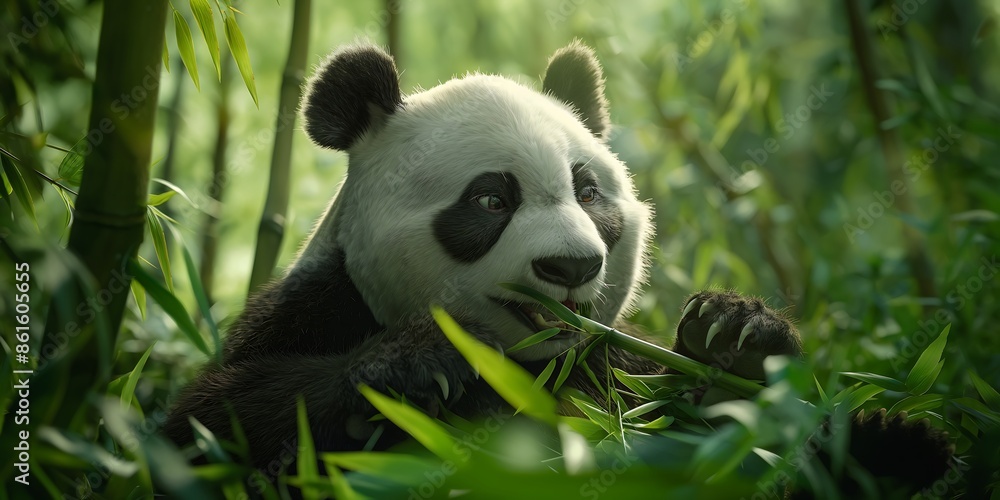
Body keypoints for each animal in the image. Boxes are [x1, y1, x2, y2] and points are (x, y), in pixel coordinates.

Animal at [165, 41, 951, 495]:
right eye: (491, 198)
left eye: (588, 191)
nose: (572, 265)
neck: (527, 367)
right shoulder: (321, 306)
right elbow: (211, 422)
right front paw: (415, 364)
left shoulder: (610, 373)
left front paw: (736, 337)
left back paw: (894, 455)